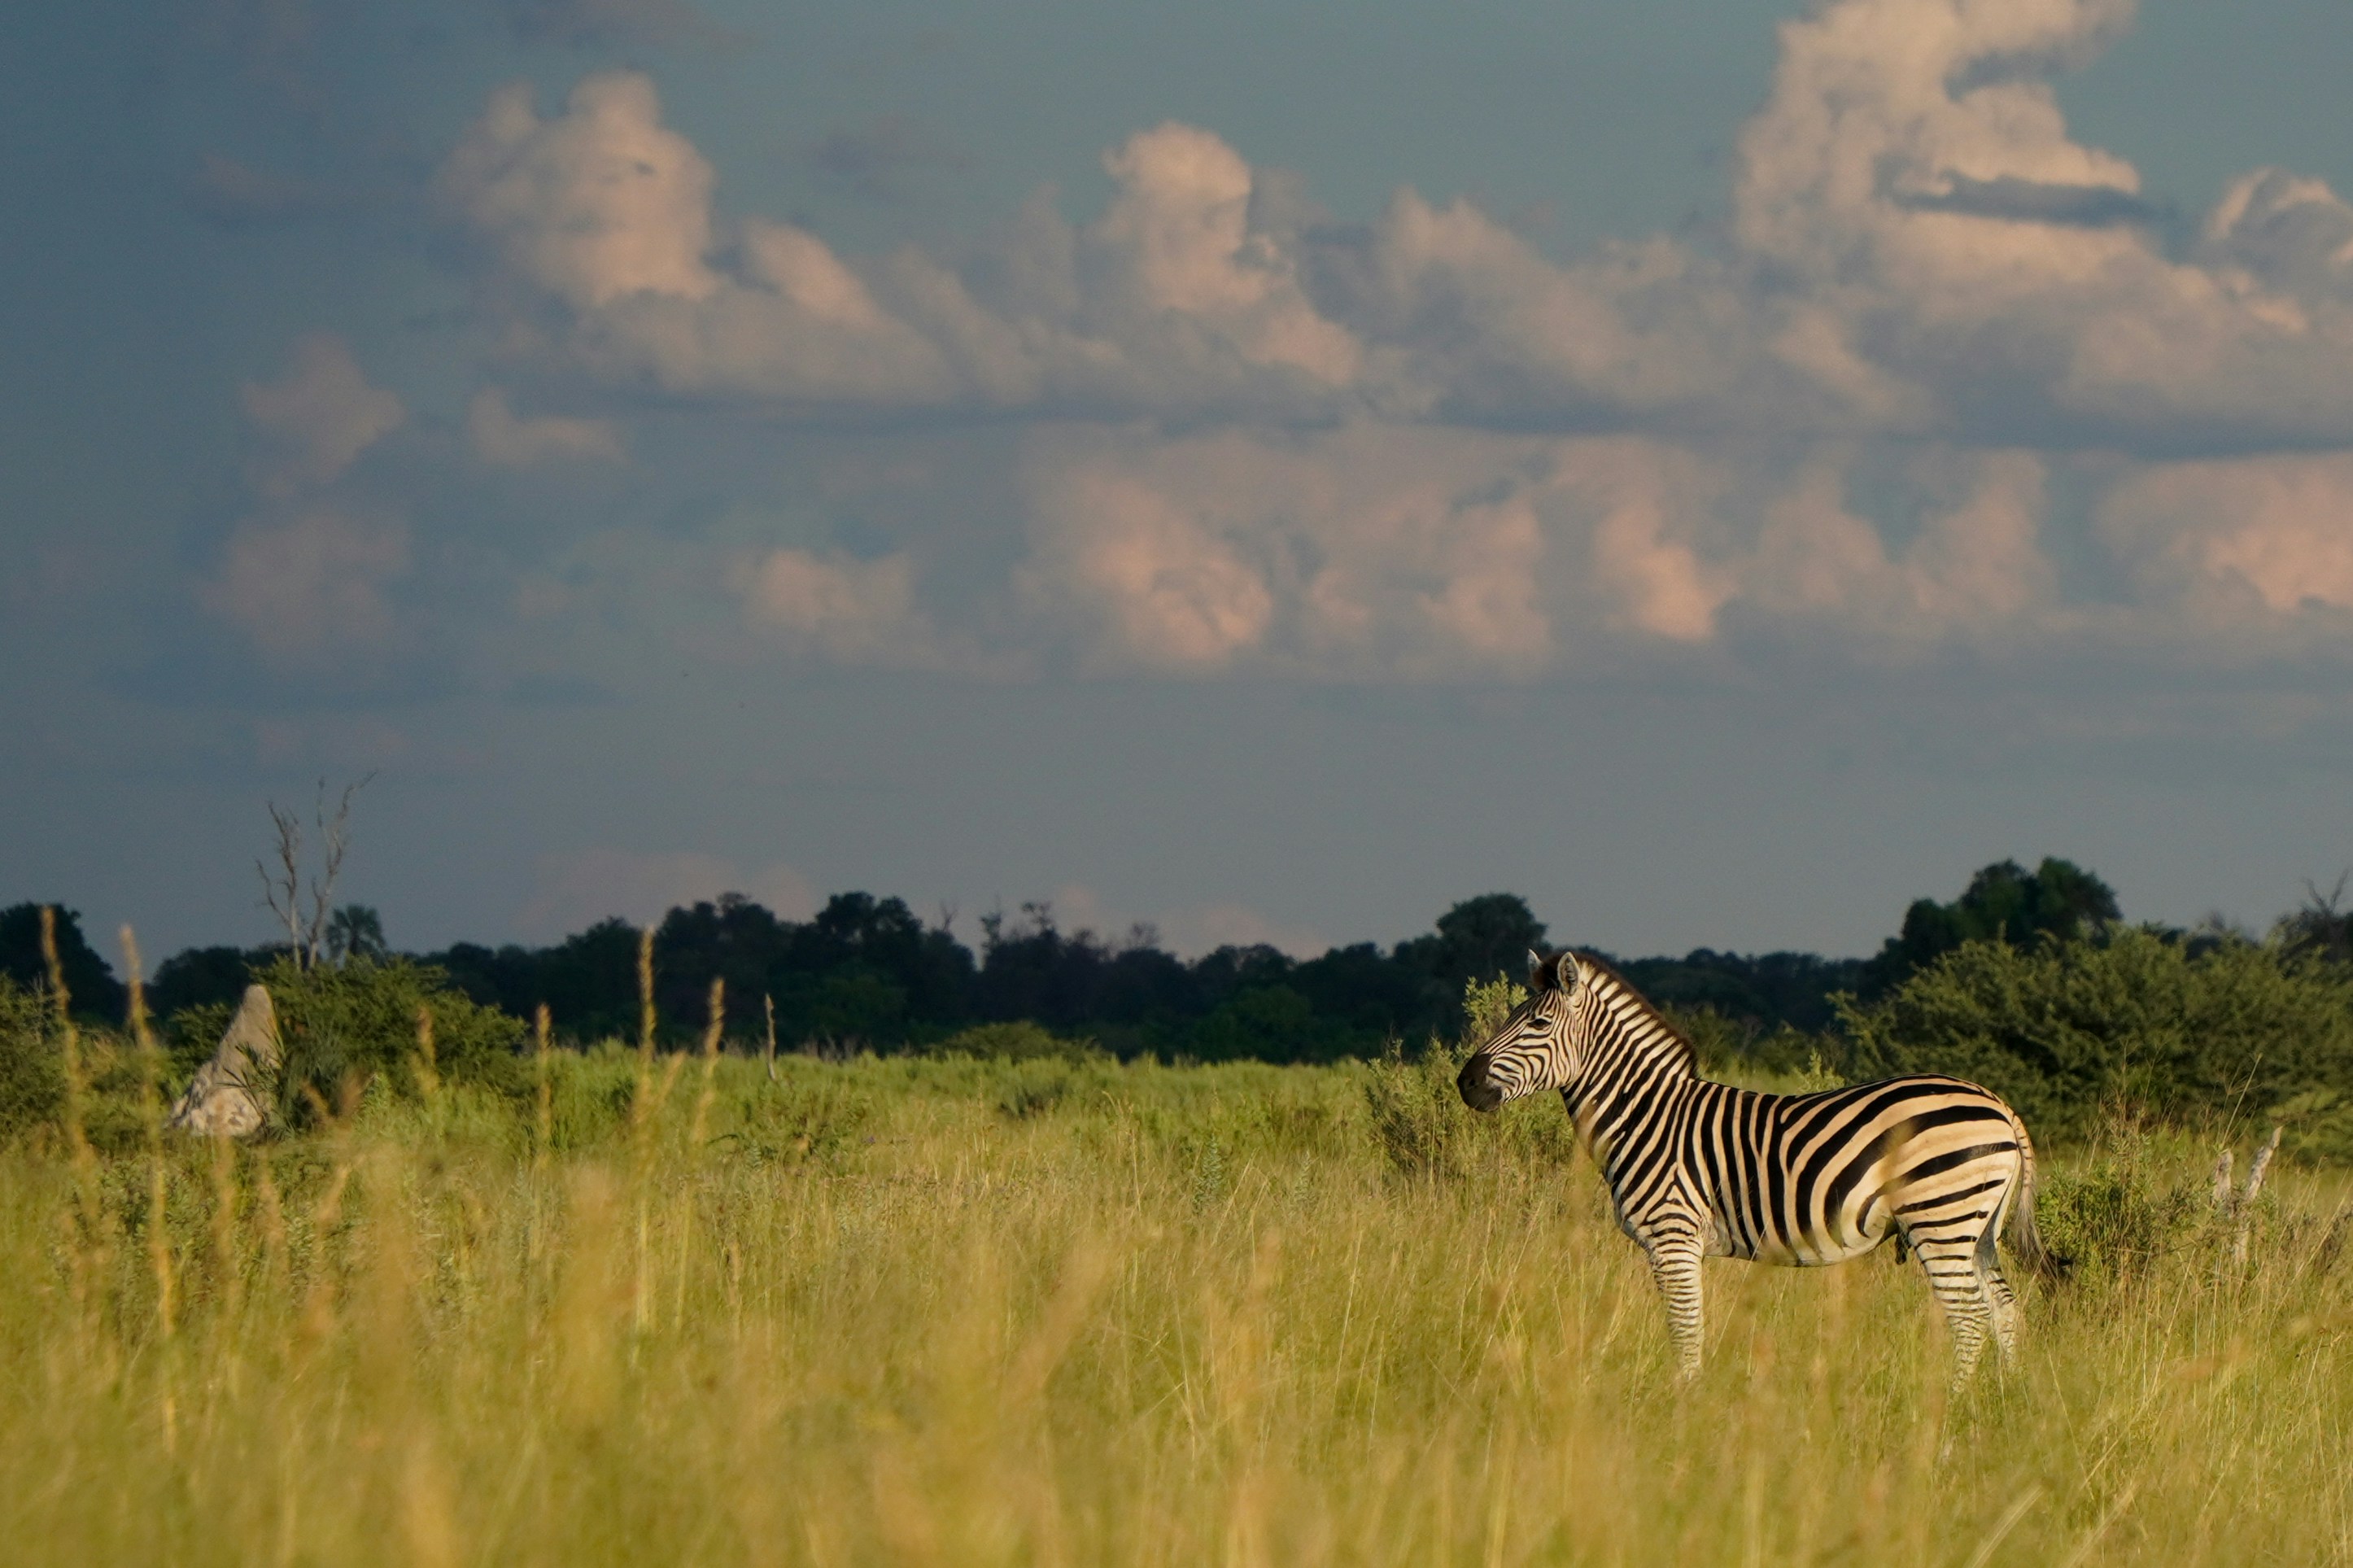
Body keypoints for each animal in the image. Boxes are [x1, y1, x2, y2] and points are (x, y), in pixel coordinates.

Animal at [1456, 949, 2050, 1381]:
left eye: (1536, 1023)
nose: (1465, 1082)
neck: (1645, 1115)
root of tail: (1997, 1103)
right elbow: (1687, 1329)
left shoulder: (1673, 1237)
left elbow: (1685, 1331)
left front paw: (1684, 1412)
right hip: (1978, 1229)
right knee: (2004, 1308)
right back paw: (2002, 1402)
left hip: (1941, 1217)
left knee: (1970, 1318)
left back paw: (1951, 1417)